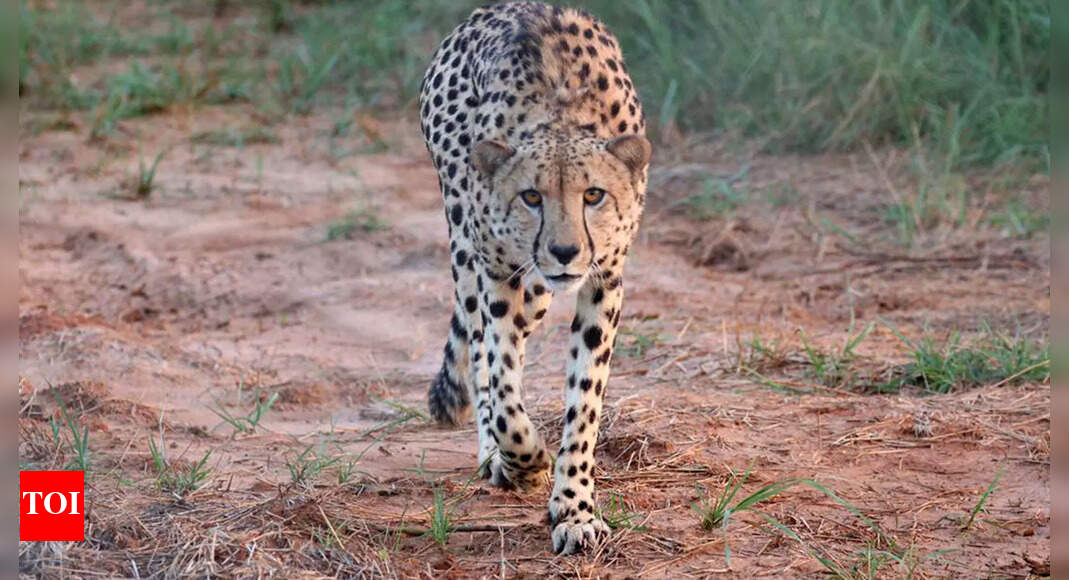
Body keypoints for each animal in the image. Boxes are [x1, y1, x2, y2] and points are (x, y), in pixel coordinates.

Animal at [419, 1, 650, 555]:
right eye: (530, 196)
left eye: (594, 195)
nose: (565, 251)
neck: (561, 116)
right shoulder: (497, 274)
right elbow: (500, 380)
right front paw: (524, 459)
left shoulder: (604, 282)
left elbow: (584, 400)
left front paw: (576, 508)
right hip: (467, 248)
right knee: (481, 348)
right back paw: (494, 455)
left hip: (540, 288)